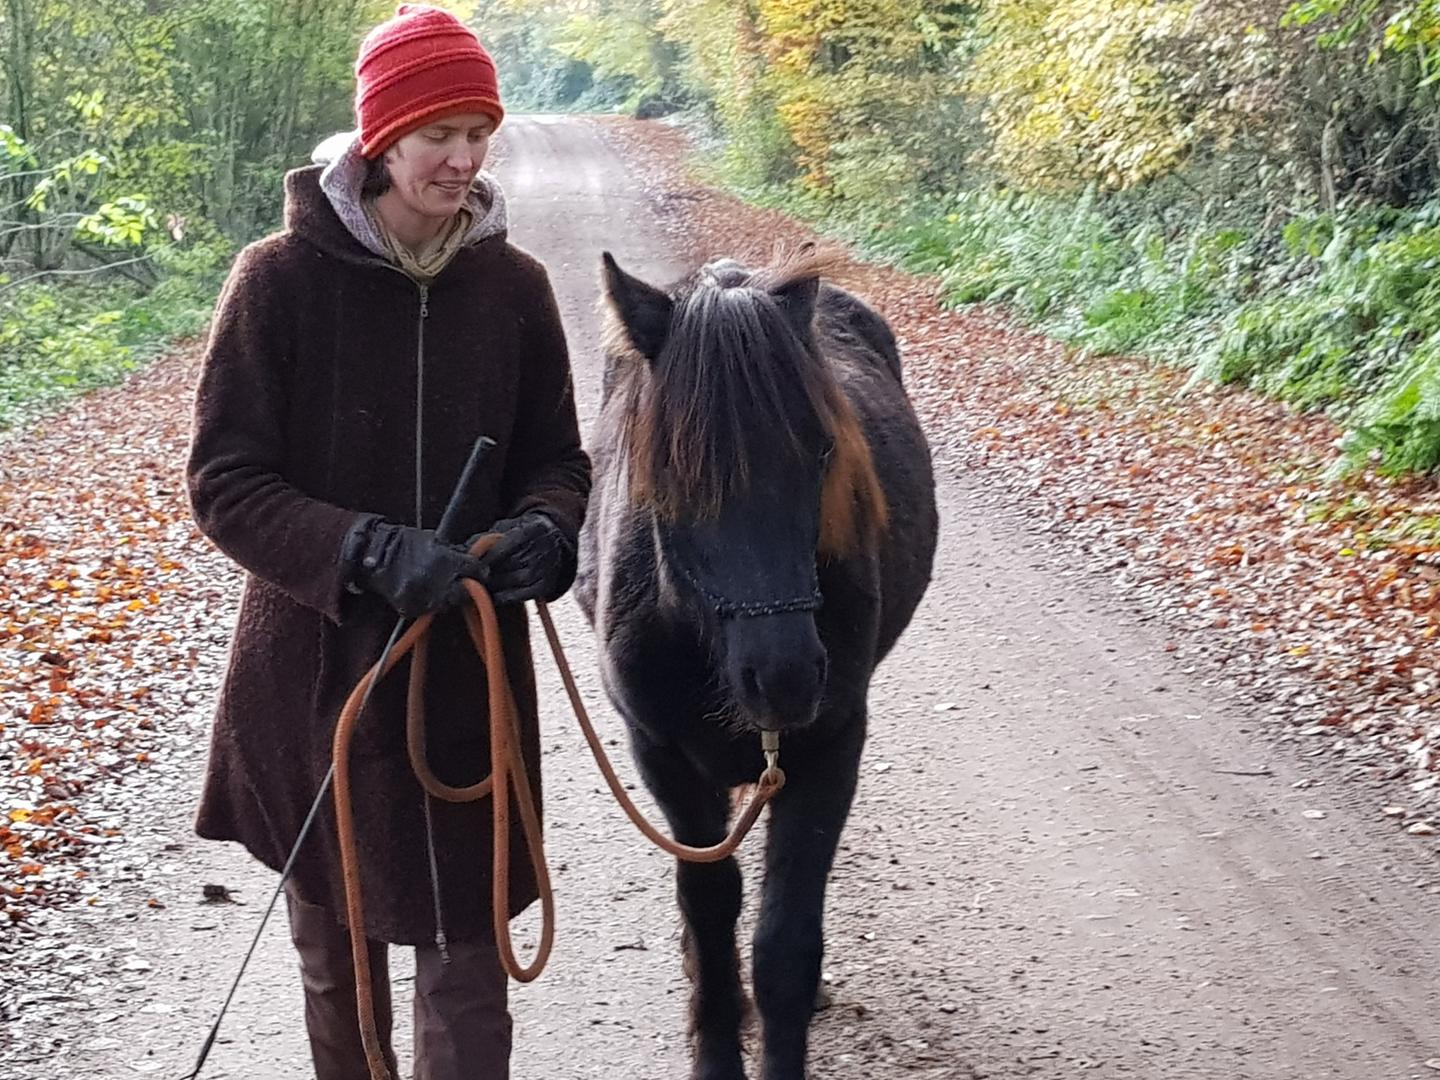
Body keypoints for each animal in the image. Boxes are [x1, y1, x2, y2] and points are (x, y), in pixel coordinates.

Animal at [575, 248, 938, 1080]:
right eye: (669, 471)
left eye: (824, 451)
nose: (785, 677)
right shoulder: (662, 758)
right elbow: (710, 913)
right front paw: (714, 1042)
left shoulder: (829, 749)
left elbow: (783, 944)